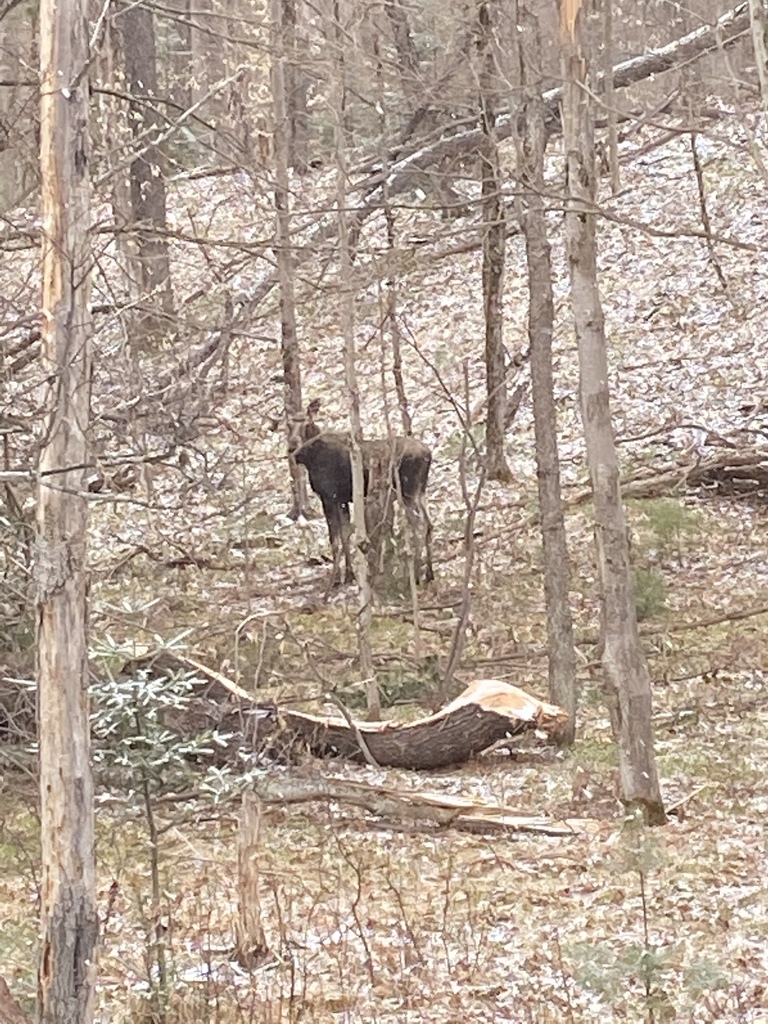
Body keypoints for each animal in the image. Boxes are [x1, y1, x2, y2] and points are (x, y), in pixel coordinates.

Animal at [288, 403, 434, 591]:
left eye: (307, 424)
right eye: (288, 425)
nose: (292, 446)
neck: (310, 458)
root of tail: (428, 454)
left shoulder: (328, 497)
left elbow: (334, 538)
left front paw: (336, 579)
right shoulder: (342, 499)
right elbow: (345, 535)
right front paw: (350, 575)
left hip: (407, 491)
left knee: (419, 525)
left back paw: (415, 576)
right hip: (420, 491)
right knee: (429, 523)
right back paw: (429, 573)